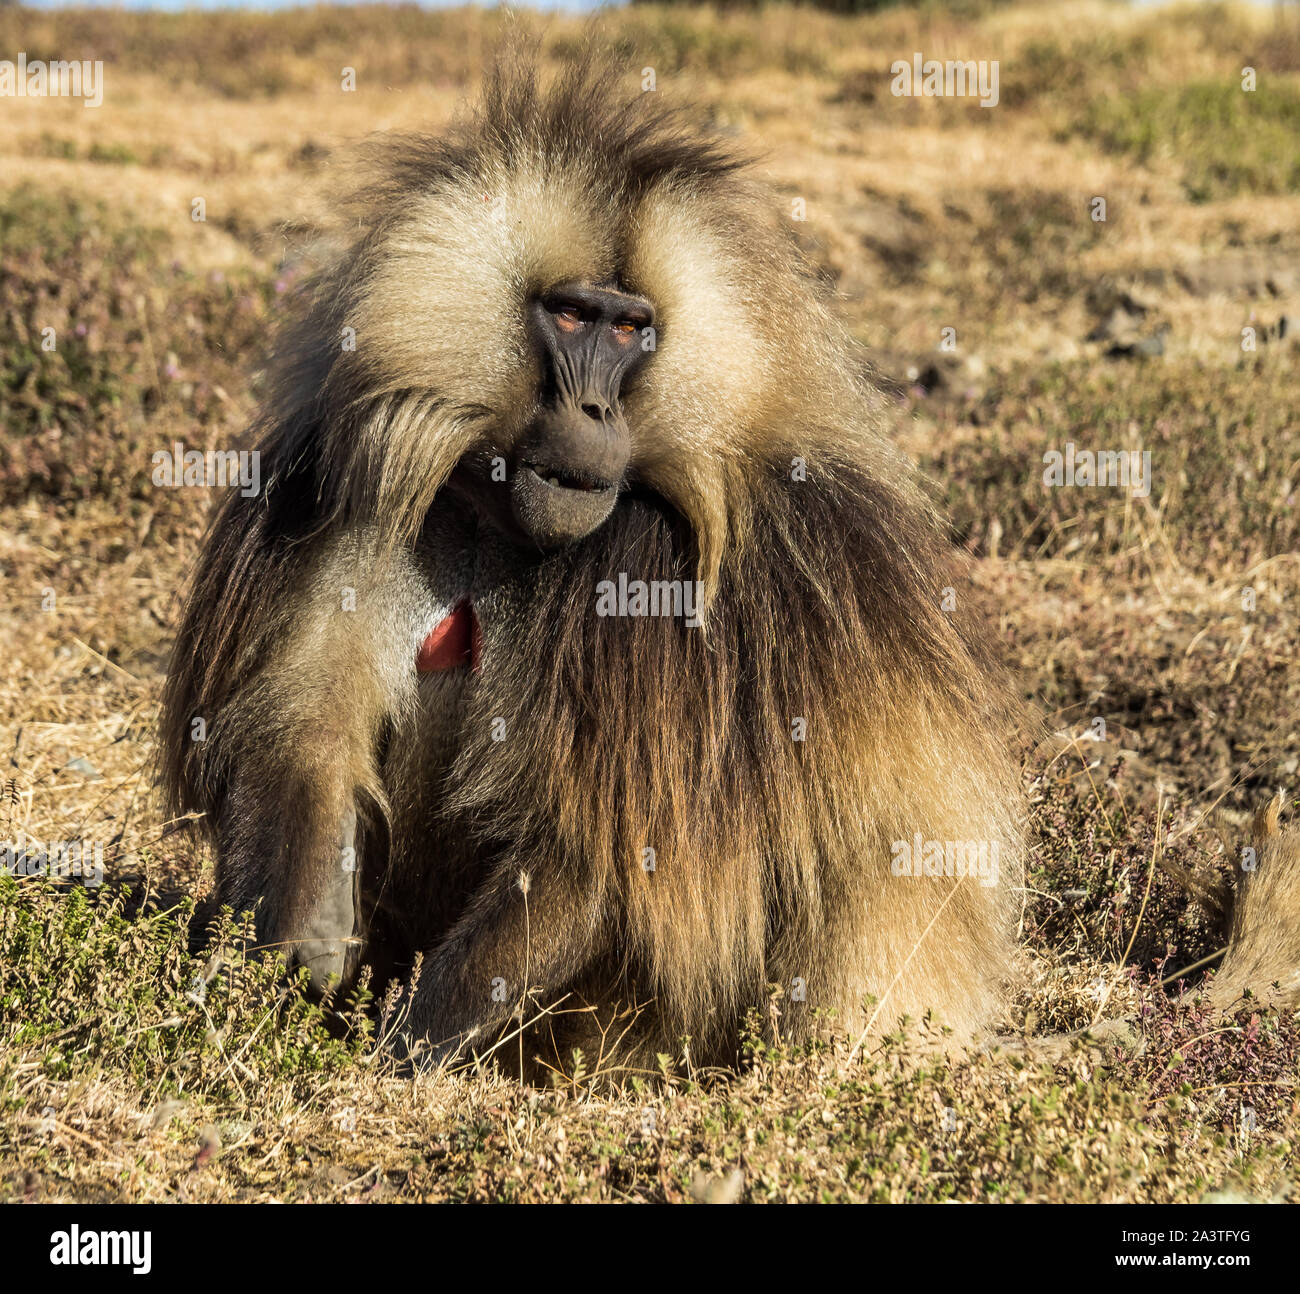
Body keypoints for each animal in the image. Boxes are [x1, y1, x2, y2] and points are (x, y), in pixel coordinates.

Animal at [159, 53, 1043, 1076]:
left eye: (631, 330)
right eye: (573, 314)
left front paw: (393, 1059)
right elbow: (300, 731)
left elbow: (603, 853)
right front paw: (277, 981)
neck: (506, 527)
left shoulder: (651, 571)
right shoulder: (348, 490)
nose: (594, 416)